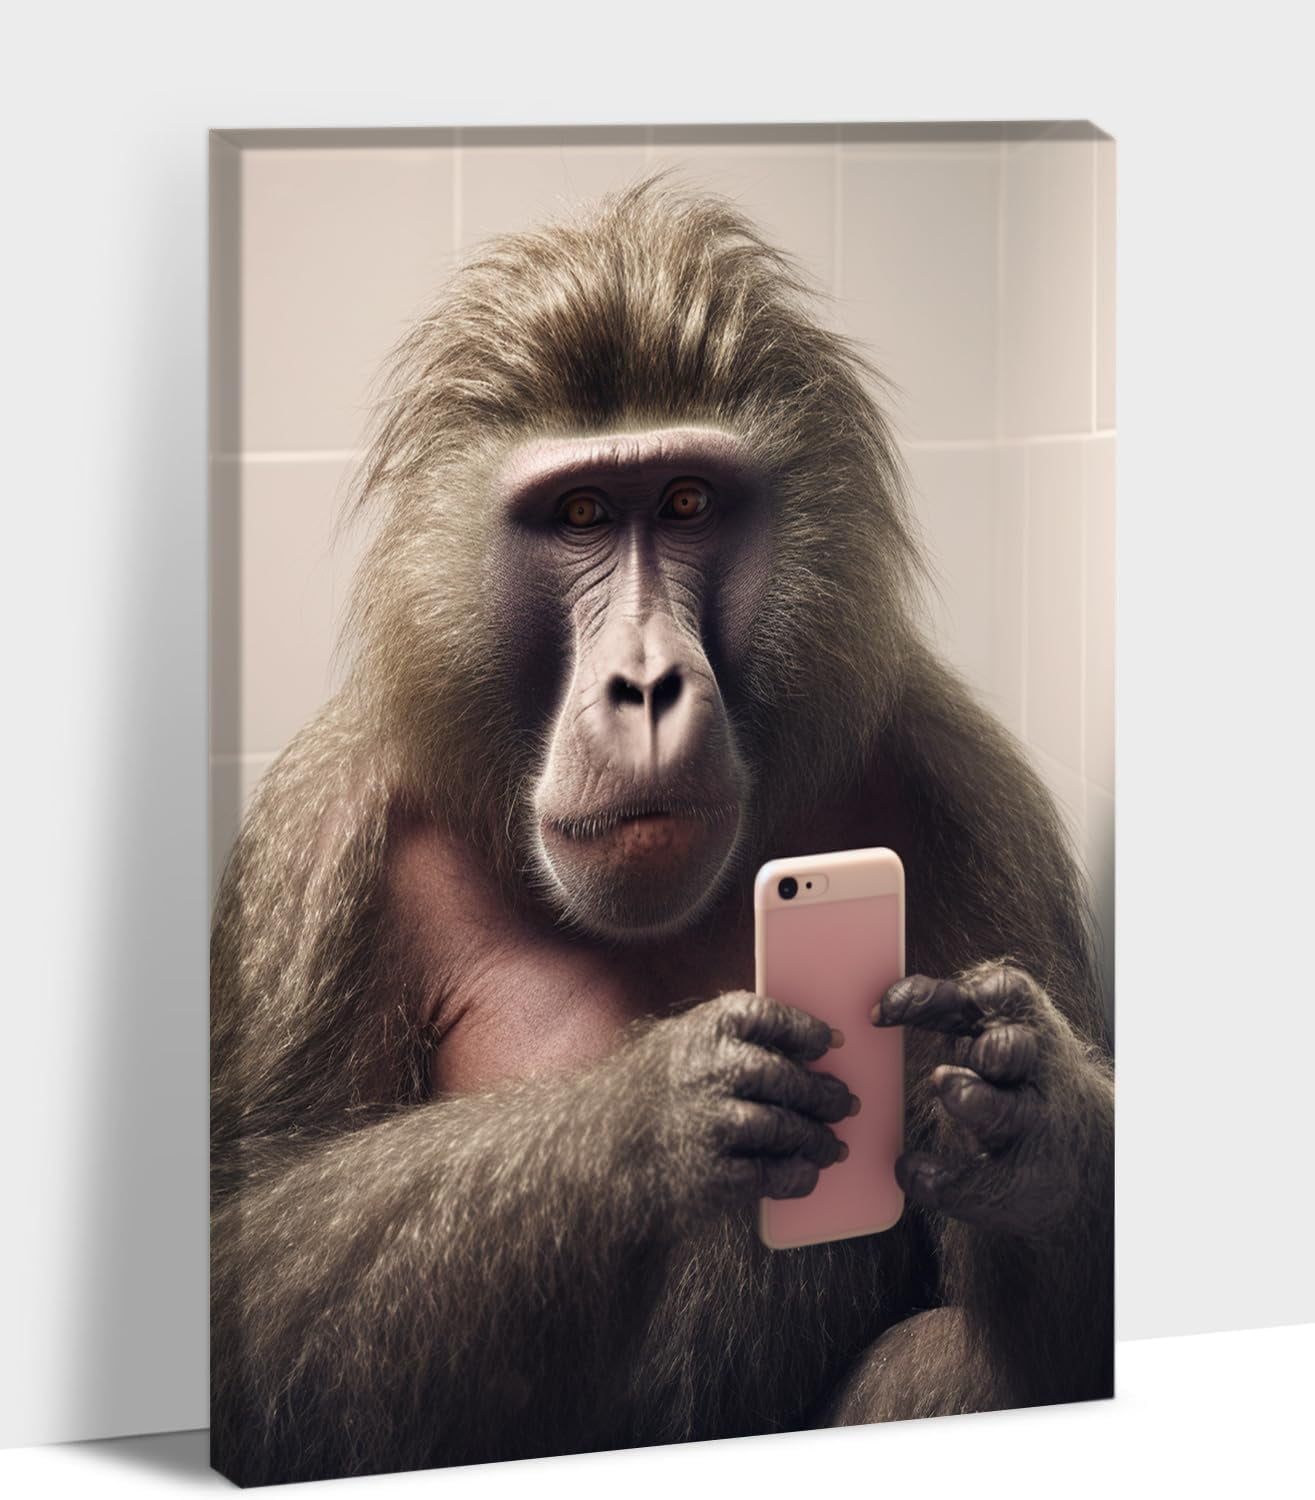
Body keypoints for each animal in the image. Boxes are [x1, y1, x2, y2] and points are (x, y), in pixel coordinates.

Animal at [210, 177, 1113, 1487]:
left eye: (686, 504)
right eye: (582, 512)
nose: (644, 683)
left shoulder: (966, 791)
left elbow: (1048, 1343)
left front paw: (1023, 1116)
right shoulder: (319, 846)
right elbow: (241, 1264)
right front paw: (658, 1110)